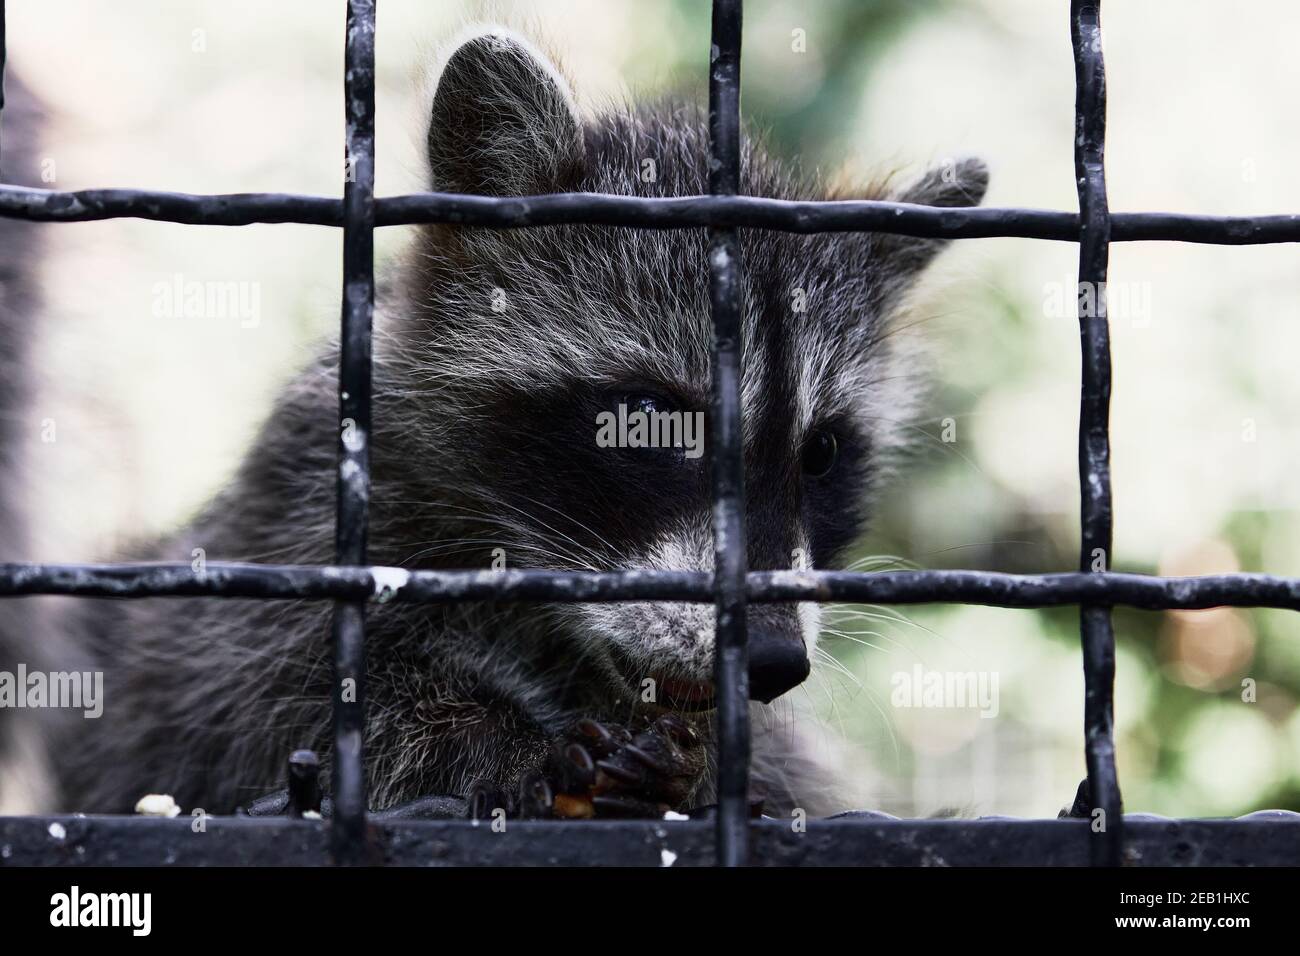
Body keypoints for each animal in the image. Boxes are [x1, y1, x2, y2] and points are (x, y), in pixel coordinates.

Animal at [8, 28, 986, 818]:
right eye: (648, 424)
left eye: (821, 452)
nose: (776, 663)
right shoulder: (287, 525)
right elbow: (277, 690)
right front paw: (489, 741)